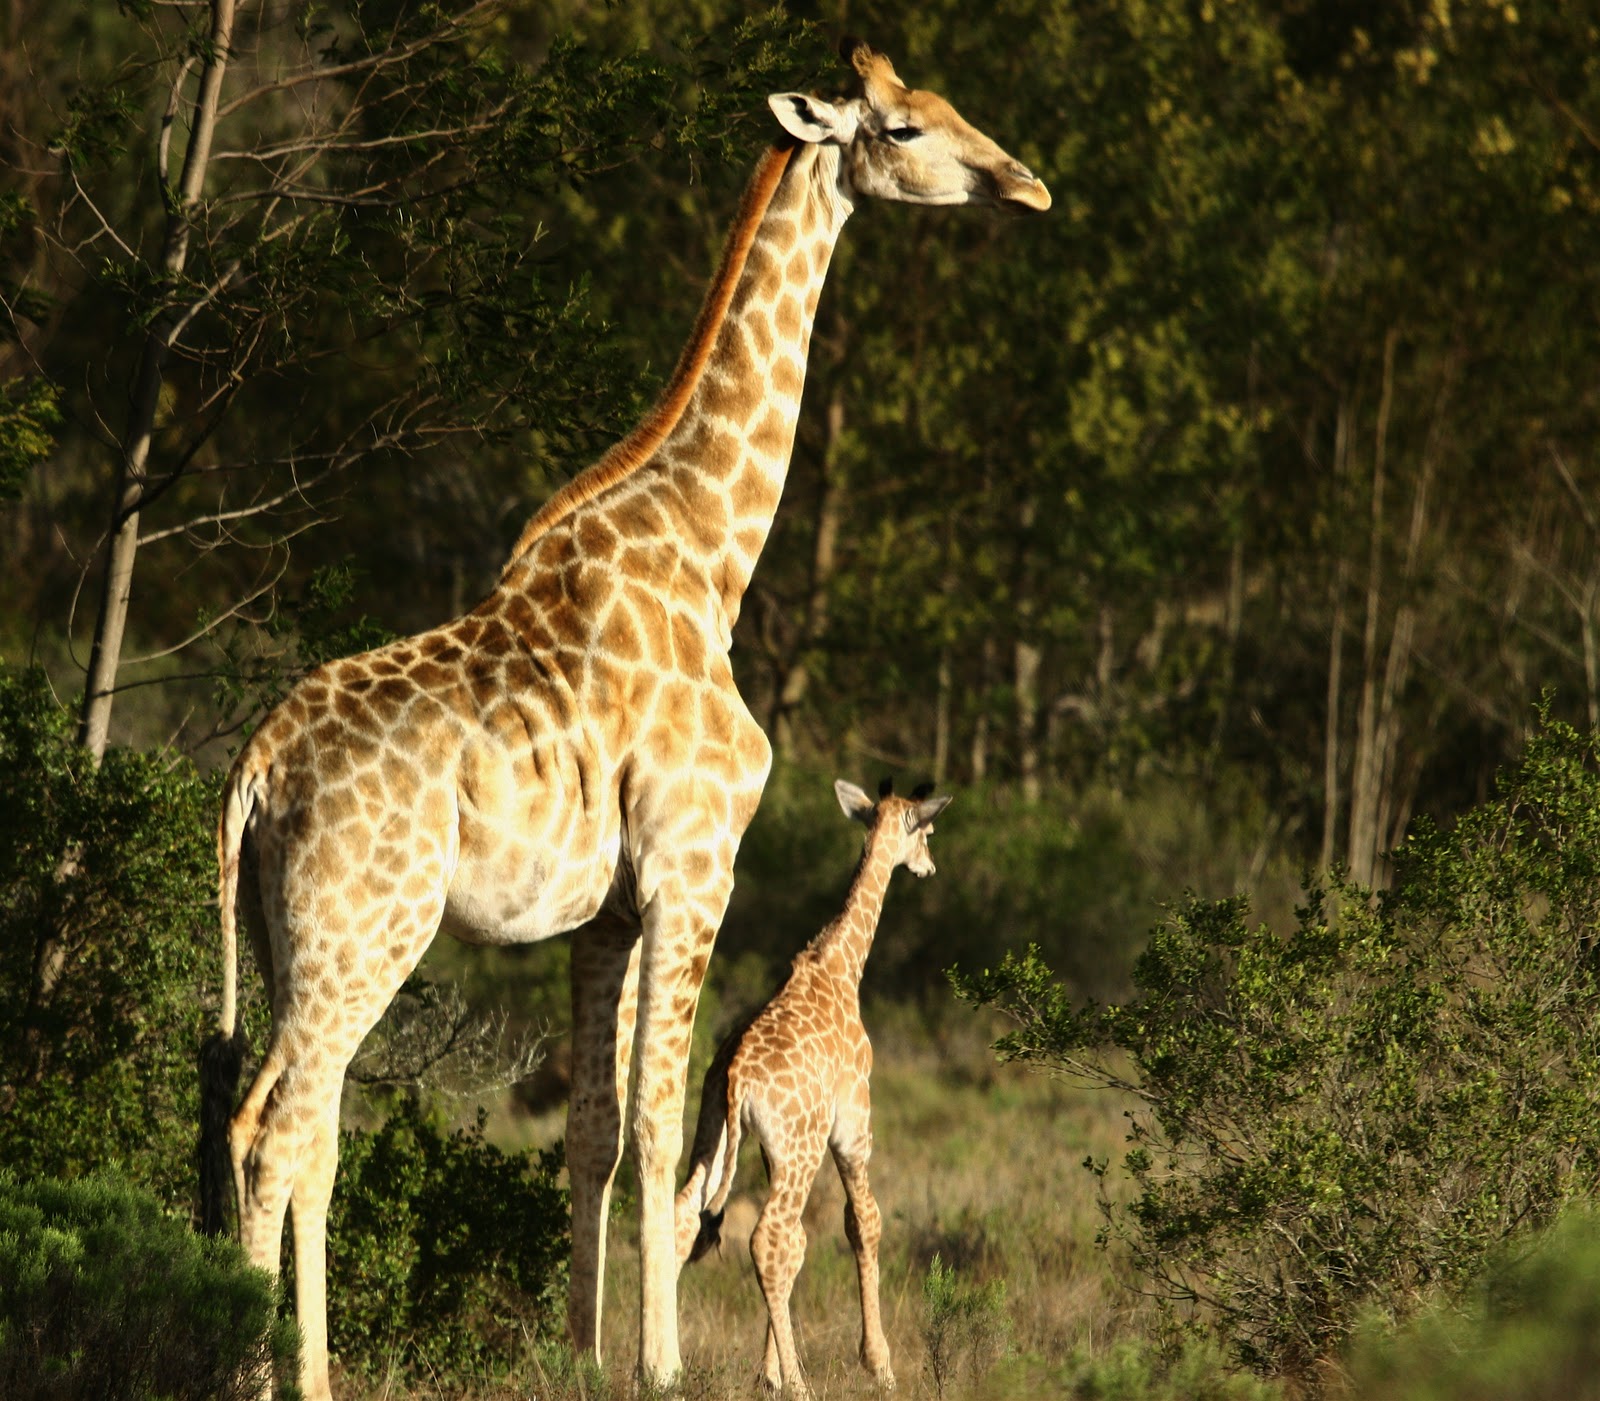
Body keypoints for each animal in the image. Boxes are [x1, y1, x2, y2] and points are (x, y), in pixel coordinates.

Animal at [674, 779, 950, 1398]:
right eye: (924, 829)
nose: (929, 867)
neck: (841, 967)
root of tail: (734, 1075)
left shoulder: (767, 1146)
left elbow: (810, 1246)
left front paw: (769, 1370)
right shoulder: (853, 1124)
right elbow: (863, 1222)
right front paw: (878, 1364)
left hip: (716, 1136)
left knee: (685, 1220)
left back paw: (659, 1368)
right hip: (800, 1149)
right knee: (770, 1238)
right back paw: (802, 1385)